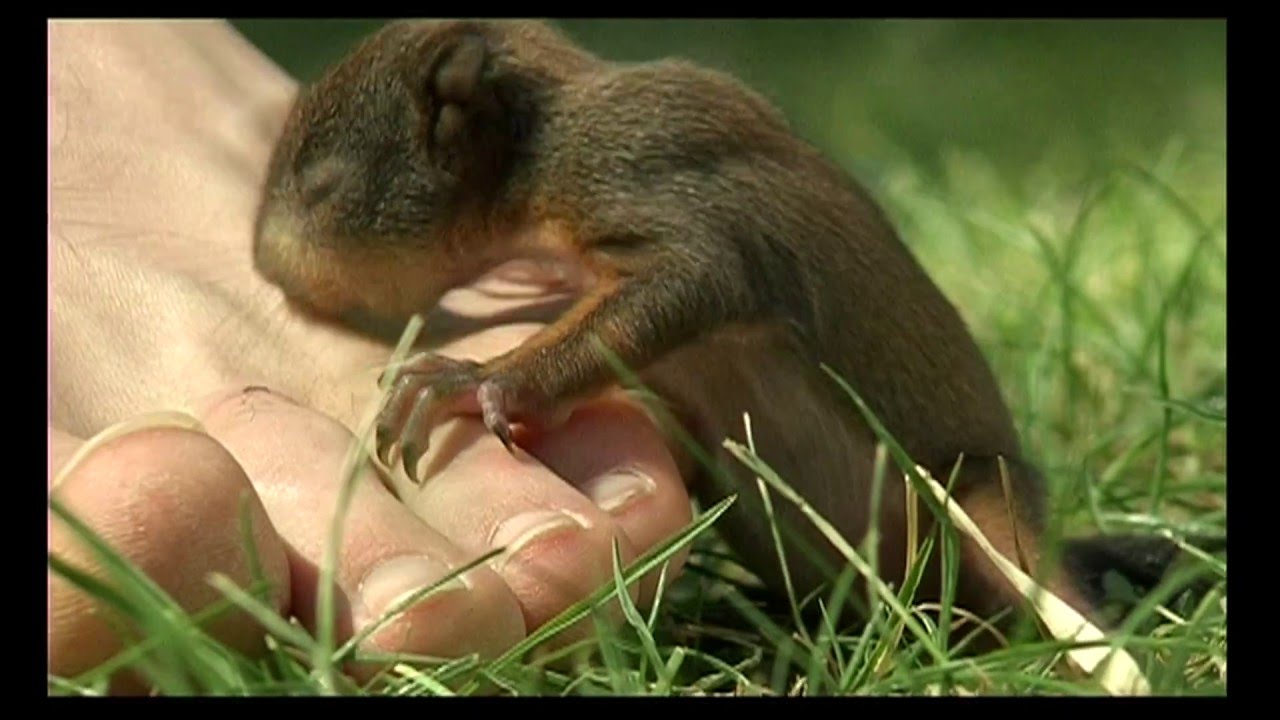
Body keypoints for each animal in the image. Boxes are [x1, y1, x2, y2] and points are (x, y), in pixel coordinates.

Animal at [253, 19, 1221, 632]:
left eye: (323, 187)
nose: (263, 261)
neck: (535, 149)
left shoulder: (644, 176)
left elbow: (694, 279)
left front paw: (476, 382)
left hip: (979, 497)